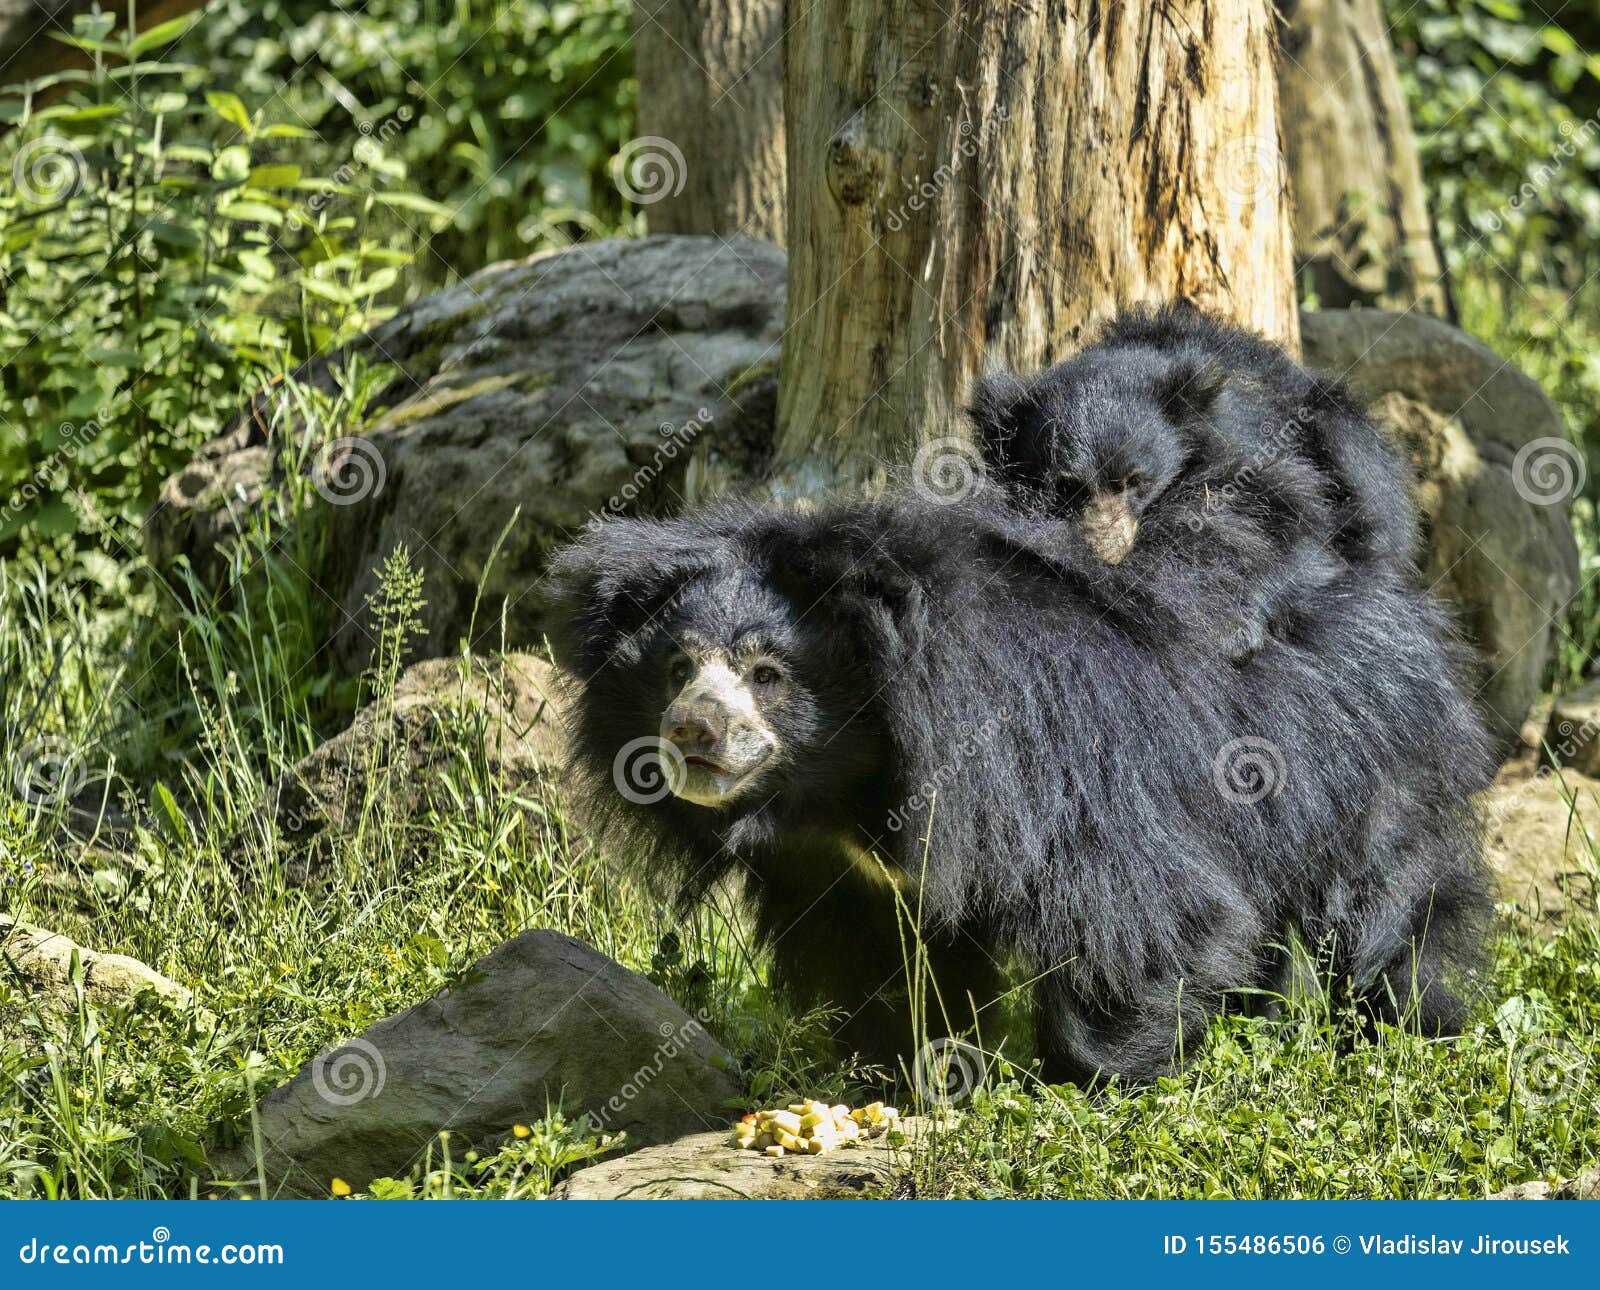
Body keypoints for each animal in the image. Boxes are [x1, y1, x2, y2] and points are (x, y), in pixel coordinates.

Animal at [544, 491, 1492, 1087]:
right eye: (677, 667)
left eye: (767, 673)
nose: (690, 731)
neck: (847, 785)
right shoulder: (846, 874)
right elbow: (882, 962)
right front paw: (906, 1074)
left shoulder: (1048, 776)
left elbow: (1144, 920)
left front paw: (1093, 1086)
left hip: (1364, 774)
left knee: (1390, 912)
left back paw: (1404, 1033)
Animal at [969, 305, 1417, 663]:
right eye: (1068, 489)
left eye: (1136, 481)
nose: (1106, 548)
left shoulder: (1263, 452)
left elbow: (1302, 537)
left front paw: (1236, 630)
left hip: (1340, 431)